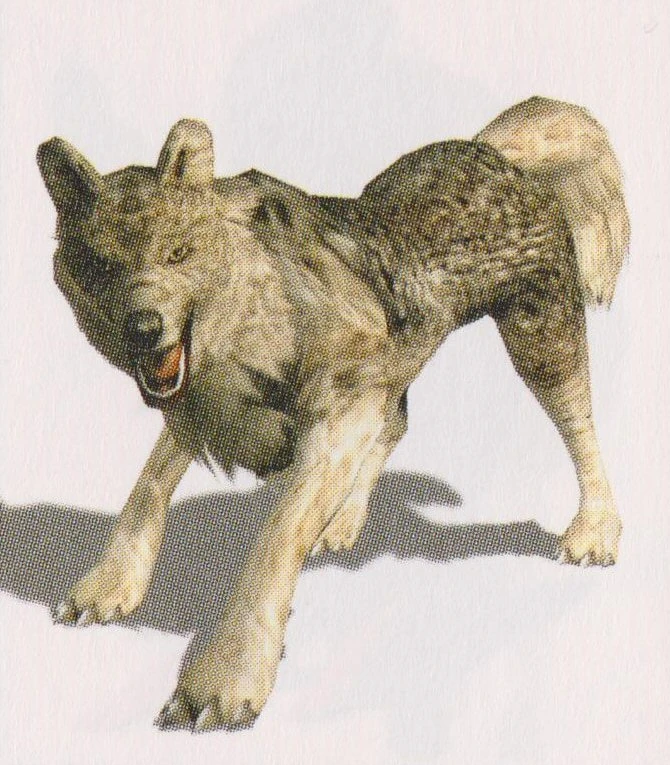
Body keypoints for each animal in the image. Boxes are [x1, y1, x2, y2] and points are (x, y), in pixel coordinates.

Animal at [37, 96, 629, 732]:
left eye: (177, 253)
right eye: (100, 265)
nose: (143, 329)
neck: (253, 314)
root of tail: (495, 150)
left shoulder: (339, 409)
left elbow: (275, 538)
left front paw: (223, 683)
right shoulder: (207, 413)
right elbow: (147, 487)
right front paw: (106, 586)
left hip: (539, 341)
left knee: (580, 427)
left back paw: (596, 532)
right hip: (413, 355)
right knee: (398, 423)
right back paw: (343, 522)